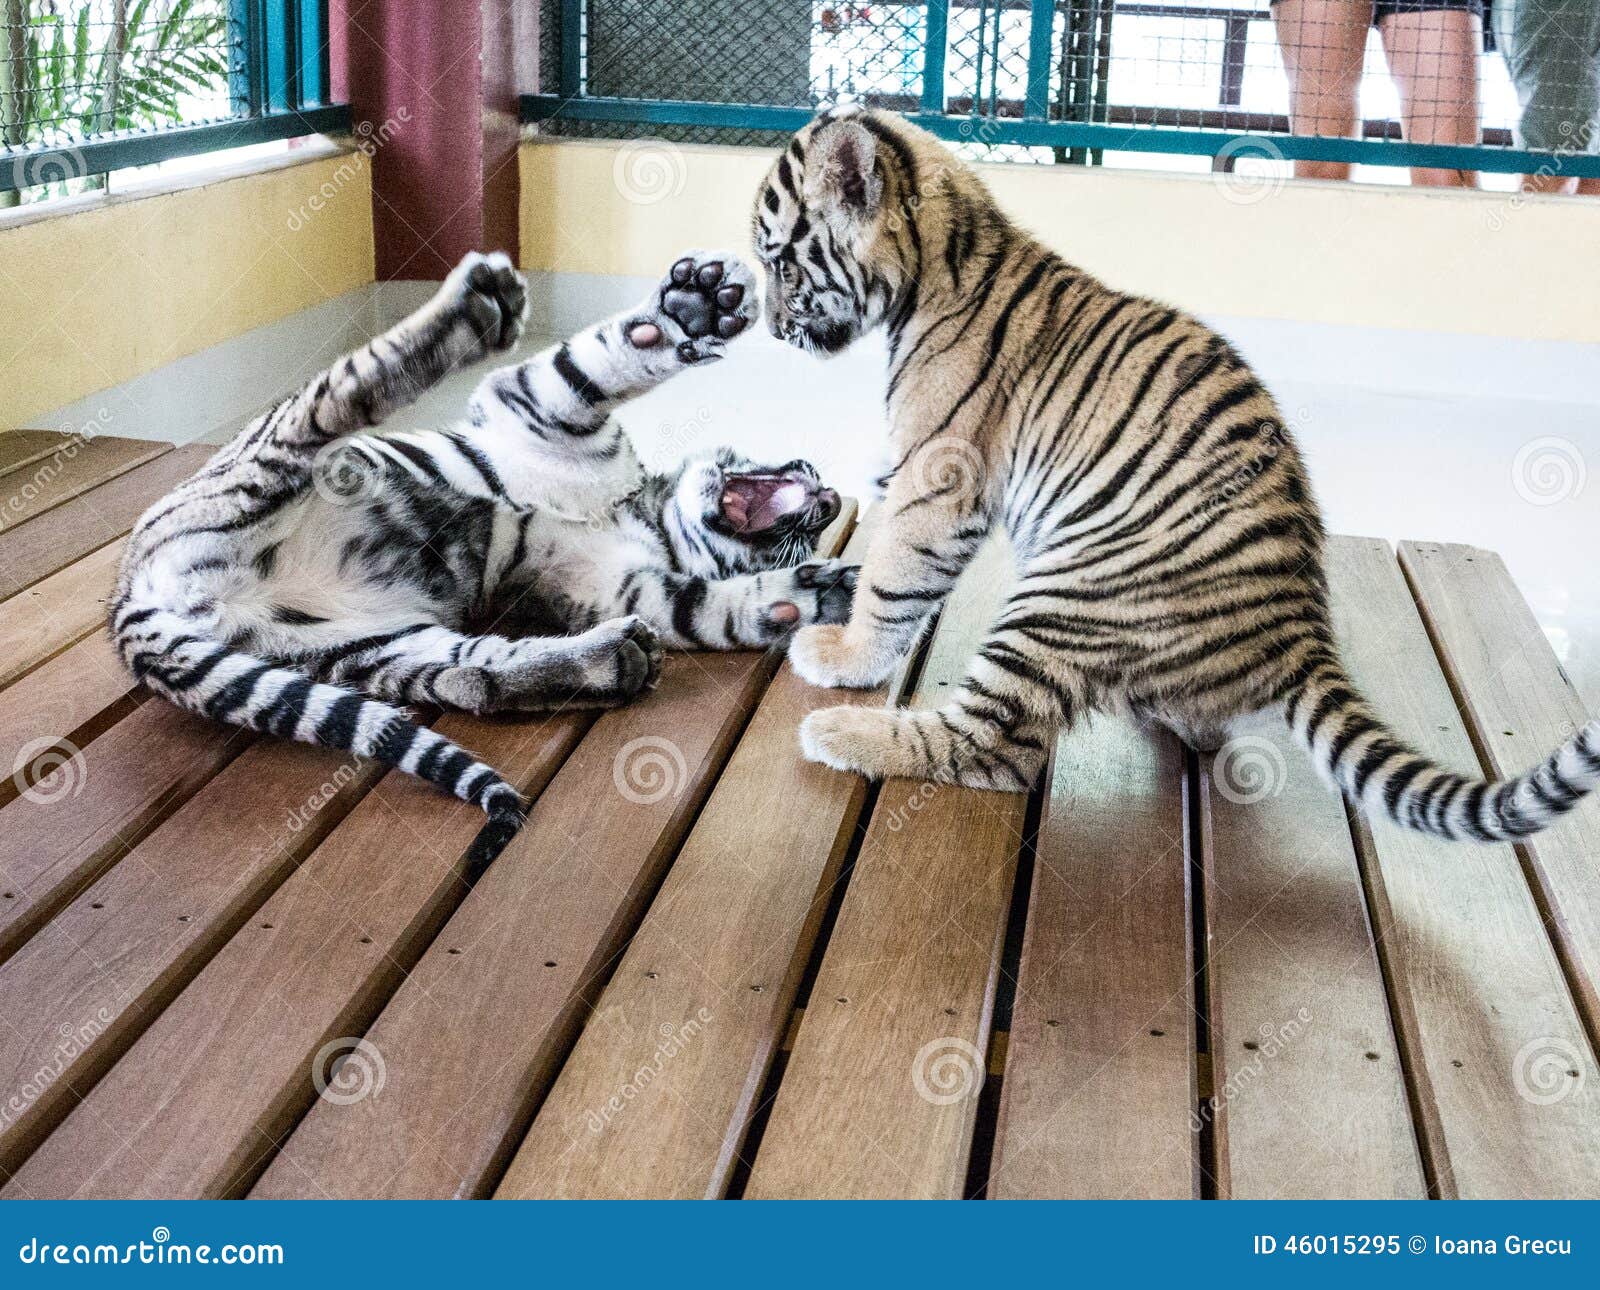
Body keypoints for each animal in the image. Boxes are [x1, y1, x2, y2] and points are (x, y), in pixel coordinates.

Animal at [110, 249, 853, 863]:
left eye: (811, 534)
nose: (829, 498)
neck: (646, 517)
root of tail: (133, 599)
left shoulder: (631, 591)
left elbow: (718, 609)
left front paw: (828, 593)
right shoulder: (543, 414)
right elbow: (588, 366)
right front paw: (692, 307)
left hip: (372, 648)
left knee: (474, 675)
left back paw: (612, 659)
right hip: (279, 465)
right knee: (330, 402)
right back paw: (471, 312)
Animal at [752, 105, 1600, 843]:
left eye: (779, 262)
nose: (770, 329)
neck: (945, 255)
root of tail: (1300, 633)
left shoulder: (940, 475)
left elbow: (894, 576)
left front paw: (848, 653)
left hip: (1064, 596)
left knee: (996, 747)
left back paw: (841, 733)